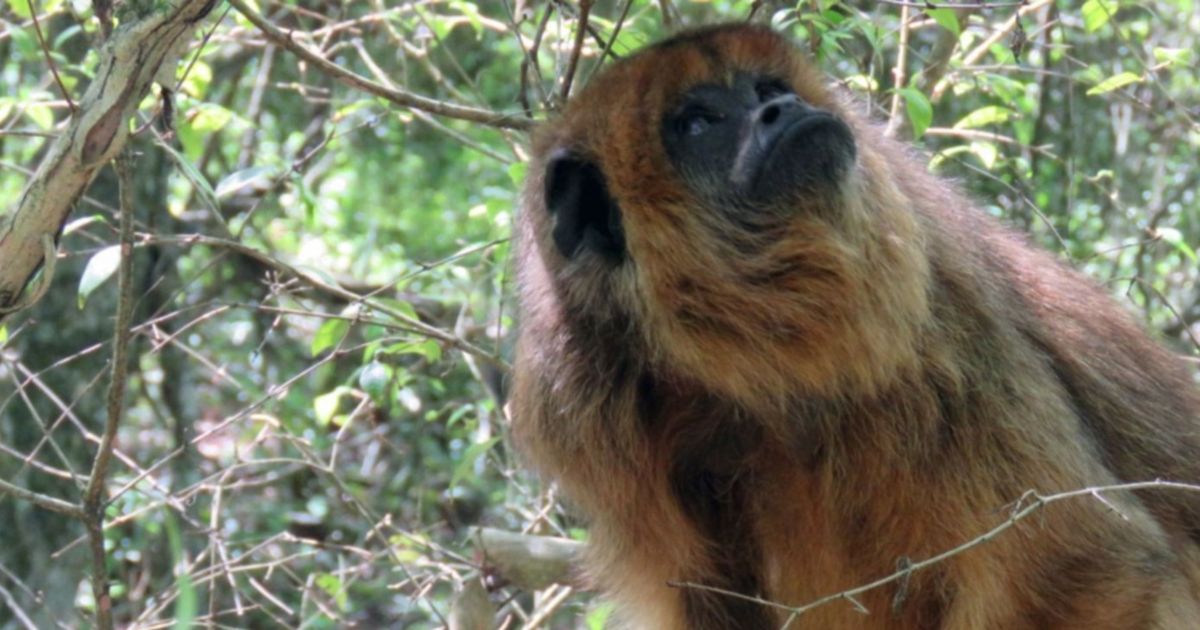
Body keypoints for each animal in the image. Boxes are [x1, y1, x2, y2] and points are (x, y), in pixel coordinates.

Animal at [510, 24, 1200, 629]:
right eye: (698, 123)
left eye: (764, 90)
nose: (784, 107)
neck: (729, 365)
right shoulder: (580, 407)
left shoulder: (930, 318)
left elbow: (1080, 561)